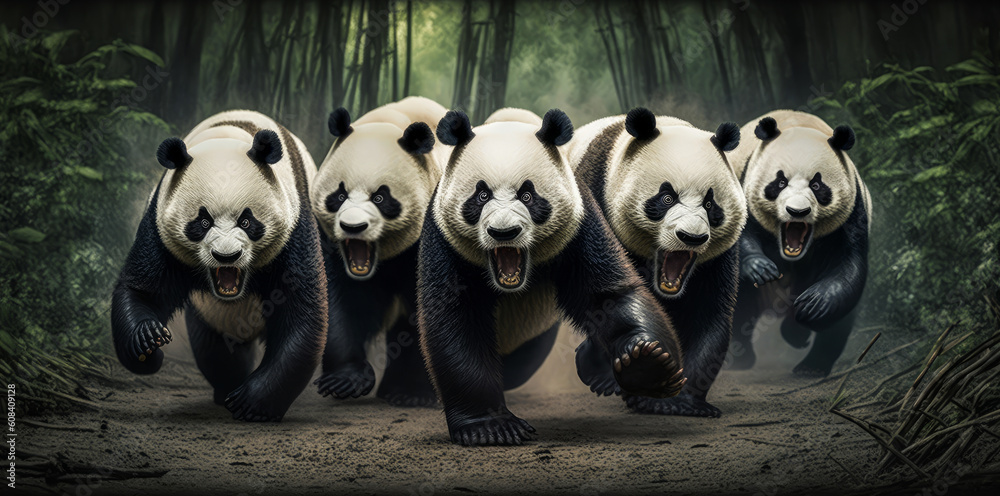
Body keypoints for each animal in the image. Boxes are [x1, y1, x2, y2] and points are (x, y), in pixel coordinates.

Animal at [111, 110, 327, 421]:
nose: (227, 256)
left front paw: (251, 403)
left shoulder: (294, 227)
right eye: (202, 222)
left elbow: (301, 312)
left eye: (247, 221)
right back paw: (226, 385)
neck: (227, 136)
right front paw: (148, 343)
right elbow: (142, 289)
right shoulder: (159, 227)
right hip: (208, 314)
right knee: (213, 344)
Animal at [310, 96, 447, 406]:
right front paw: (346, 379)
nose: (353, 227)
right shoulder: (332, 245)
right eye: (339, 195)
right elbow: (342, 300)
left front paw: (414, 393)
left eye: (381, 197)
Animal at [418, 108, 686, 446]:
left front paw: (646, 365)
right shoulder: (443, 240)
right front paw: (491, 426)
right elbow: (455, 319)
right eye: (481, 195)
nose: (504, 232)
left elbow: (609, 296)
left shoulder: (580, 225)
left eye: (528, 195)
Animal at [567, 108, 746, 417]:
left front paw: (677, 401)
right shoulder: (597, 196)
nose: (691, 237)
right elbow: (605, 294)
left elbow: (707, 312)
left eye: (710, 204)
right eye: (666, 197)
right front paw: (639, 377)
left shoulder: (718, 258)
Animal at [727, 110, 871, 377]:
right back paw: (739, 359)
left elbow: (848, 263)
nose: (797, 211)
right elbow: (741, 237)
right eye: (780, 182)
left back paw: (808, 360)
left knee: (839, 323)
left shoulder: (852, 209)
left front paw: (815, 304)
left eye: (817, 185)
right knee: (738, 304)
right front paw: (761, 268)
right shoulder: (744, 184)